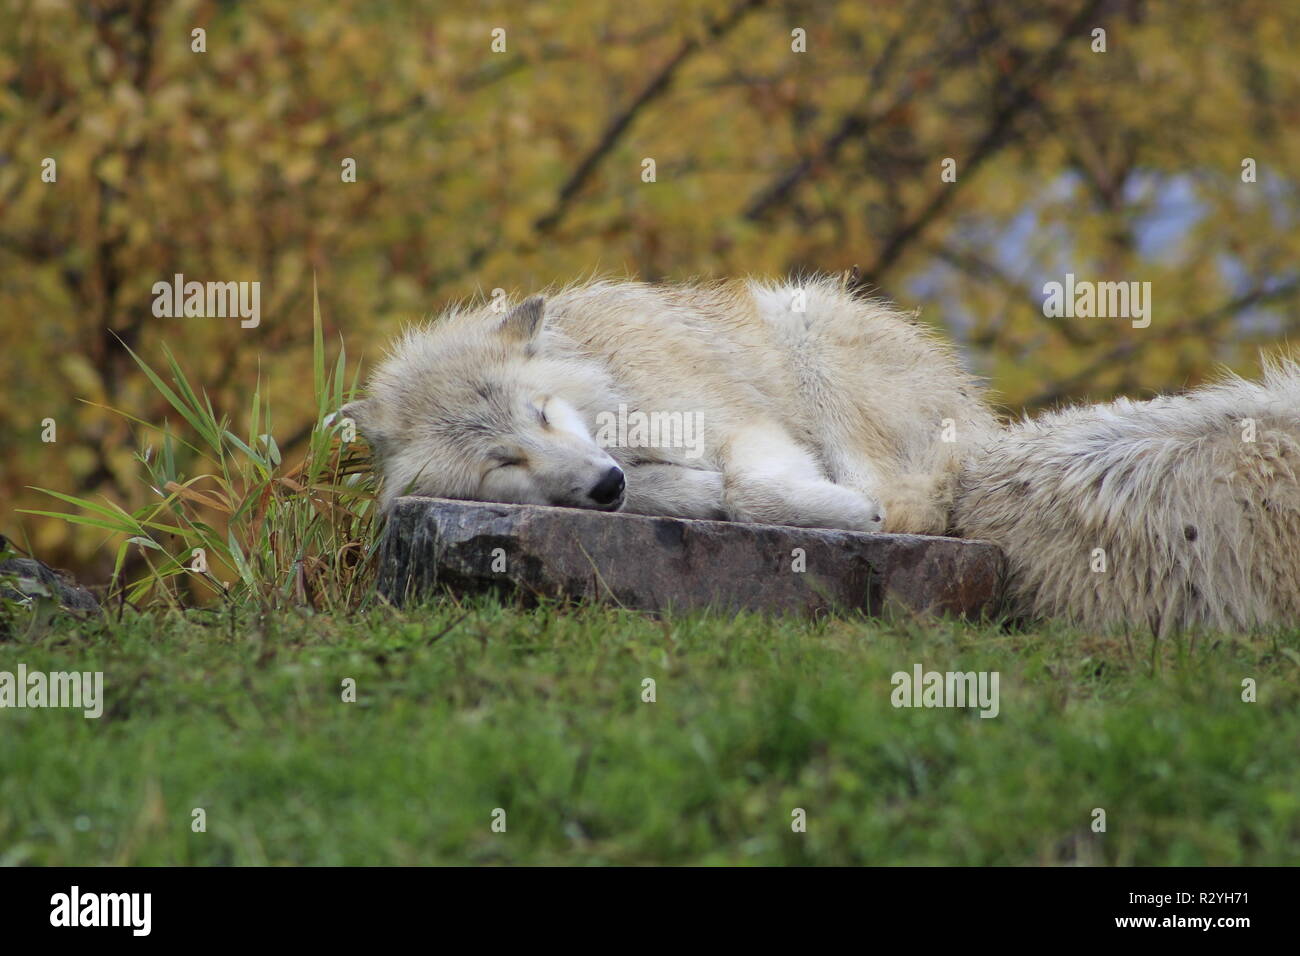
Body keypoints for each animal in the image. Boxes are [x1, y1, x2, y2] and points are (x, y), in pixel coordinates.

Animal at [343, 276, 997, 534]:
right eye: (503, 462)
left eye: (542, 414)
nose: (606, 484)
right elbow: (718, 491)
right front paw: (696, 493)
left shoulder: (740, 424)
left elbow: (748, 491)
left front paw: (852, 513)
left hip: (806, 329)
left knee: (915, 504)